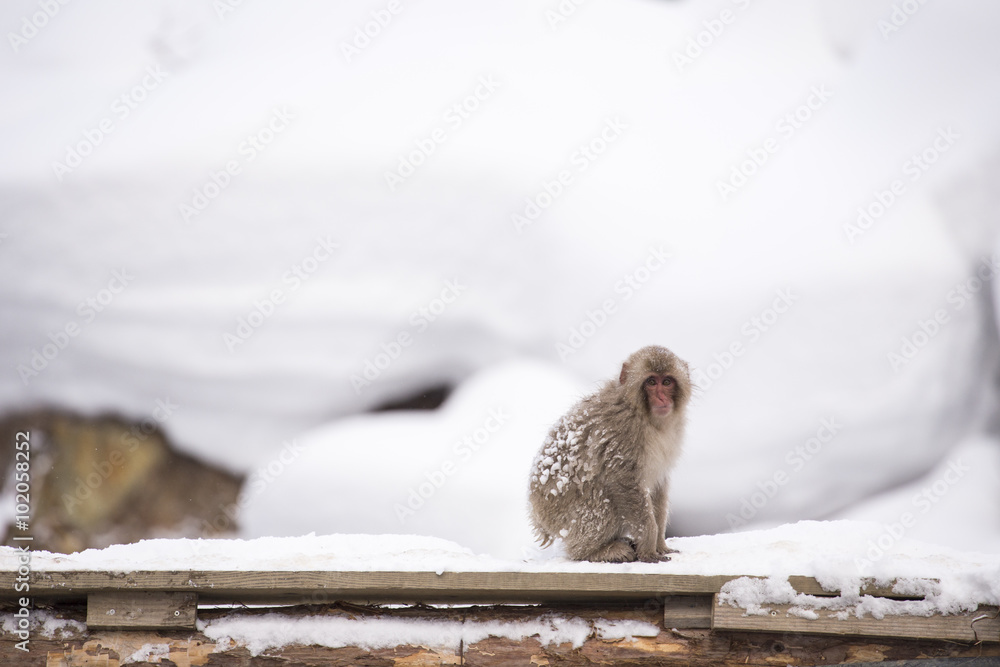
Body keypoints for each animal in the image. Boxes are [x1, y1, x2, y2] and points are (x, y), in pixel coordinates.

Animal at [528, 346, 691, 563]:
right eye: (651, 382)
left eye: (666, 382)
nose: (662, 398)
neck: (645, 416)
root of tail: (537, 515)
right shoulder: (623, 431)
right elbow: (623, 481)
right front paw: (648, 547)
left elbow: (658, 486)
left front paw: (660, 545)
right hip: (559, 516)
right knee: (601, 495)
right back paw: (593, 552)